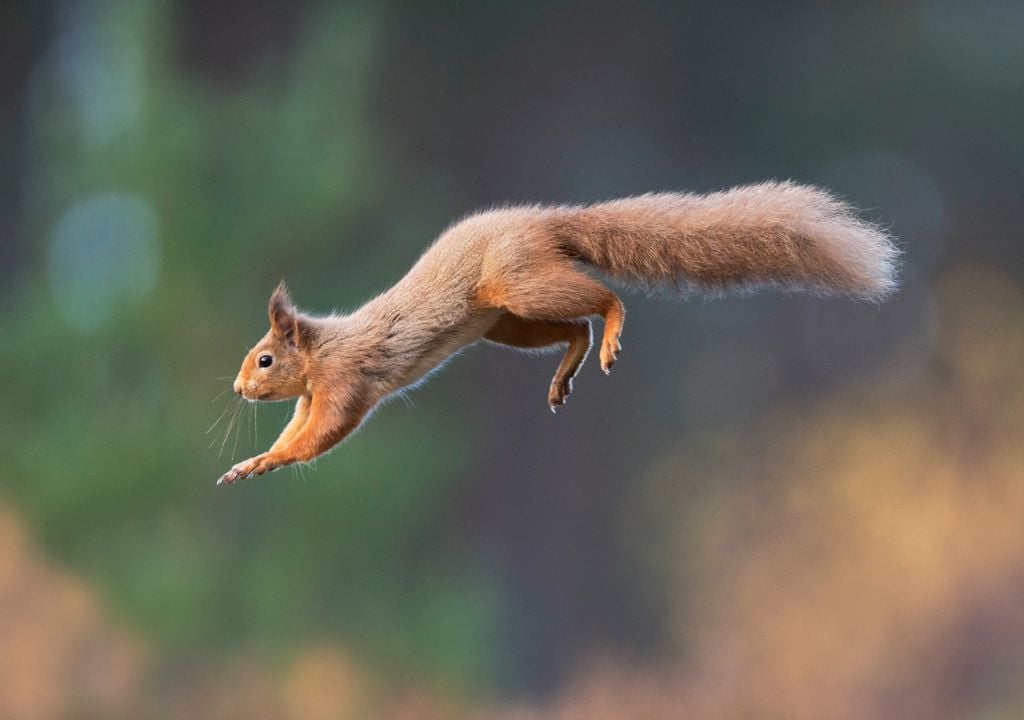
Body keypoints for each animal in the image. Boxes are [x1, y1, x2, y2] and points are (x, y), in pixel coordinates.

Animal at [217, 180, 898, 485]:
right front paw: (255, 459)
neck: (322, 349)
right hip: (508, 322)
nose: (238, 389)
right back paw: (566, 371)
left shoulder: (344, 383)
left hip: (516, 288)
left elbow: (322, 435)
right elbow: (298, 430)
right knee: (573, 328)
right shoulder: (312, 395)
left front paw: (264, 461)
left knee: (602, 300)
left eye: (265, 360)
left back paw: (612, 331)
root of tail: (545, 223)